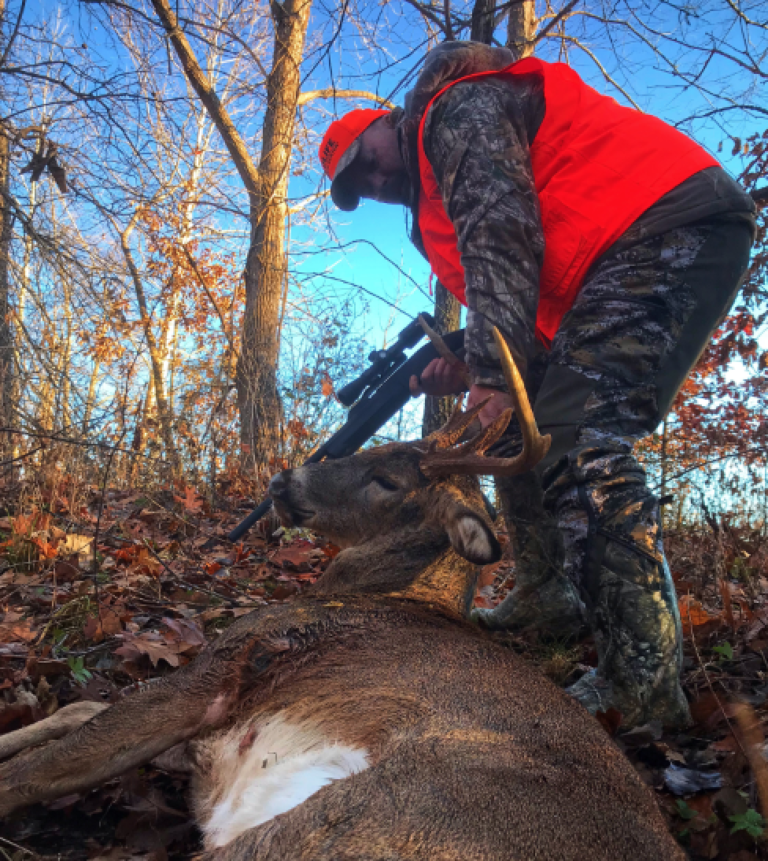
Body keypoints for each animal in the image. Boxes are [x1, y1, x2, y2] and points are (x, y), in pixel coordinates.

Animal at [0, 329, 684, 860]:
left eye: (386, 479)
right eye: (380, 446)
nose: (283, 479)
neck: (385, 593)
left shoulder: (227, 666)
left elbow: (47, 764)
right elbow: (81, 712)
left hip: (349, 825)